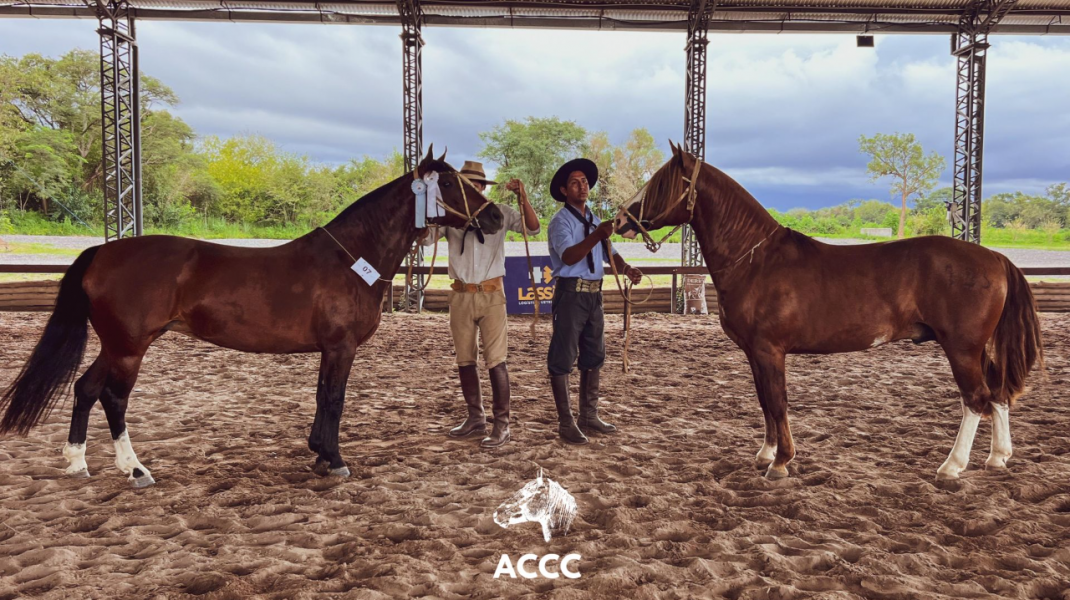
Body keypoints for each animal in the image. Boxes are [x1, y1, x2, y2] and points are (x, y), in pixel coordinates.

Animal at [0, 147, 504, 487]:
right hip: (129, 348)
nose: (497, 217)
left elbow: (321, 397)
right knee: (113, 398)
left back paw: (77, 463)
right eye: (451, 184)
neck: (350, 259)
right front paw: (336, 460)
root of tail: (102, 252)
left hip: (116, 344)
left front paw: (319, 454)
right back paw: (136, 469)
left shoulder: (328, 350)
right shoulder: (341, 347)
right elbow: (335, 400)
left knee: (85, 389)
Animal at [615, 143, 1043, 481]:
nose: (621, 219)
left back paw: (952, 465)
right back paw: (997, 457)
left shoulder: (770, 350)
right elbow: (764, 401)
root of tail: (994, 257)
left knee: (976, 399)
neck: (756, 260)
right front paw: (767, 453)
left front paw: (781, 463)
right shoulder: (754, 353)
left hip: (961, 348)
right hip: (977, 348)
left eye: (659, 183)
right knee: (998, 393)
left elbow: (777, 401)